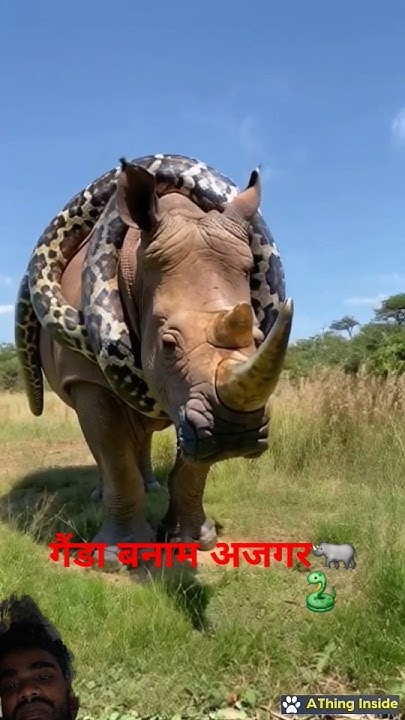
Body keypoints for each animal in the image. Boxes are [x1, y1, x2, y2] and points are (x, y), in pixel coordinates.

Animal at [15, 156, 293, 566]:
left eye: (260, 338)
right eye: (167, 343)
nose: (236, 434)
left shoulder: (194, 400)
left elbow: (194, 467)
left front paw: (193, 540)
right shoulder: (86, 376)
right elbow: (115, 456)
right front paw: (118, 555)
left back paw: (152, 485)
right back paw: (106, 497)